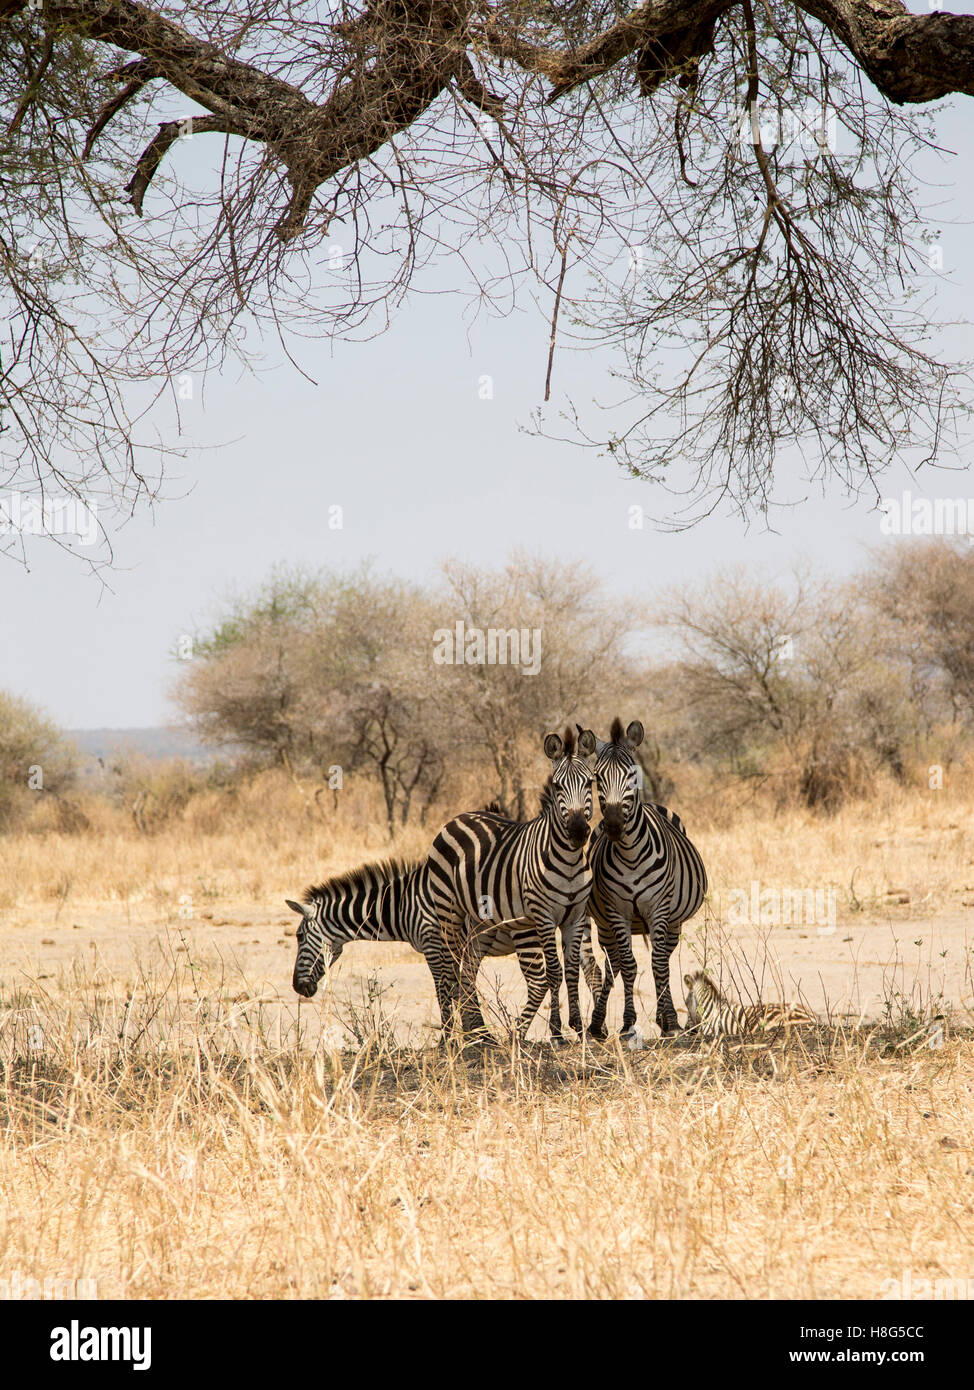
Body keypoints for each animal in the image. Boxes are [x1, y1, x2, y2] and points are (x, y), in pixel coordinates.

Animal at [287, 852, 602, 1036]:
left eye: (299, 936)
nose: (298, 988)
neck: (404, 904)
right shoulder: (457, 946)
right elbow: (463, 986)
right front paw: (476, 1034)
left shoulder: (433, 943)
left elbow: (444, 988)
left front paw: (450, 1039)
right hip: (578, 928)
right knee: (592, 972)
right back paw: (593, 1030)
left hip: (529, 933)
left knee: (542, 980)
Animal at [426, 726, 598, 1041]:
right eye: (557, 787)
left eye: (590, 782)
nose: (579, 831)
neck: (569, 861)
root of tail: (460, 816)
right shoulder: (543, 916)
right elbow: (554, 973)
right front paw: (556, 1032)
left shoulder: (576, 917)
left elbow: (572, 972)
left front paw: (578, 1027)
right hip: (448, 909)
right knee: (447, 969)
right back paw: (449, 1036)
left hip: (479, 922)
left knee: (467, 970)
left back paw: (476, 1034)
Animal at [585, 717, 708, 1039]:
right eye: (597, 777)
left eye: (632, 775)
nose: (614, 825)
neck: (630, 854)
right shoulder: (617, 911)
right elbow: (628, 966)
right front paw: (628, 1023)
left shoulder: (658, 908)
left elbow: (659, 965)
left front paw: (670, 1021)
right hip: (604, 926)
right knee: (612, 965)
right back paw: (596, 1023)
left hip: (673, 923)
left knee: (661, 959)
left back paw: (666, 1018)